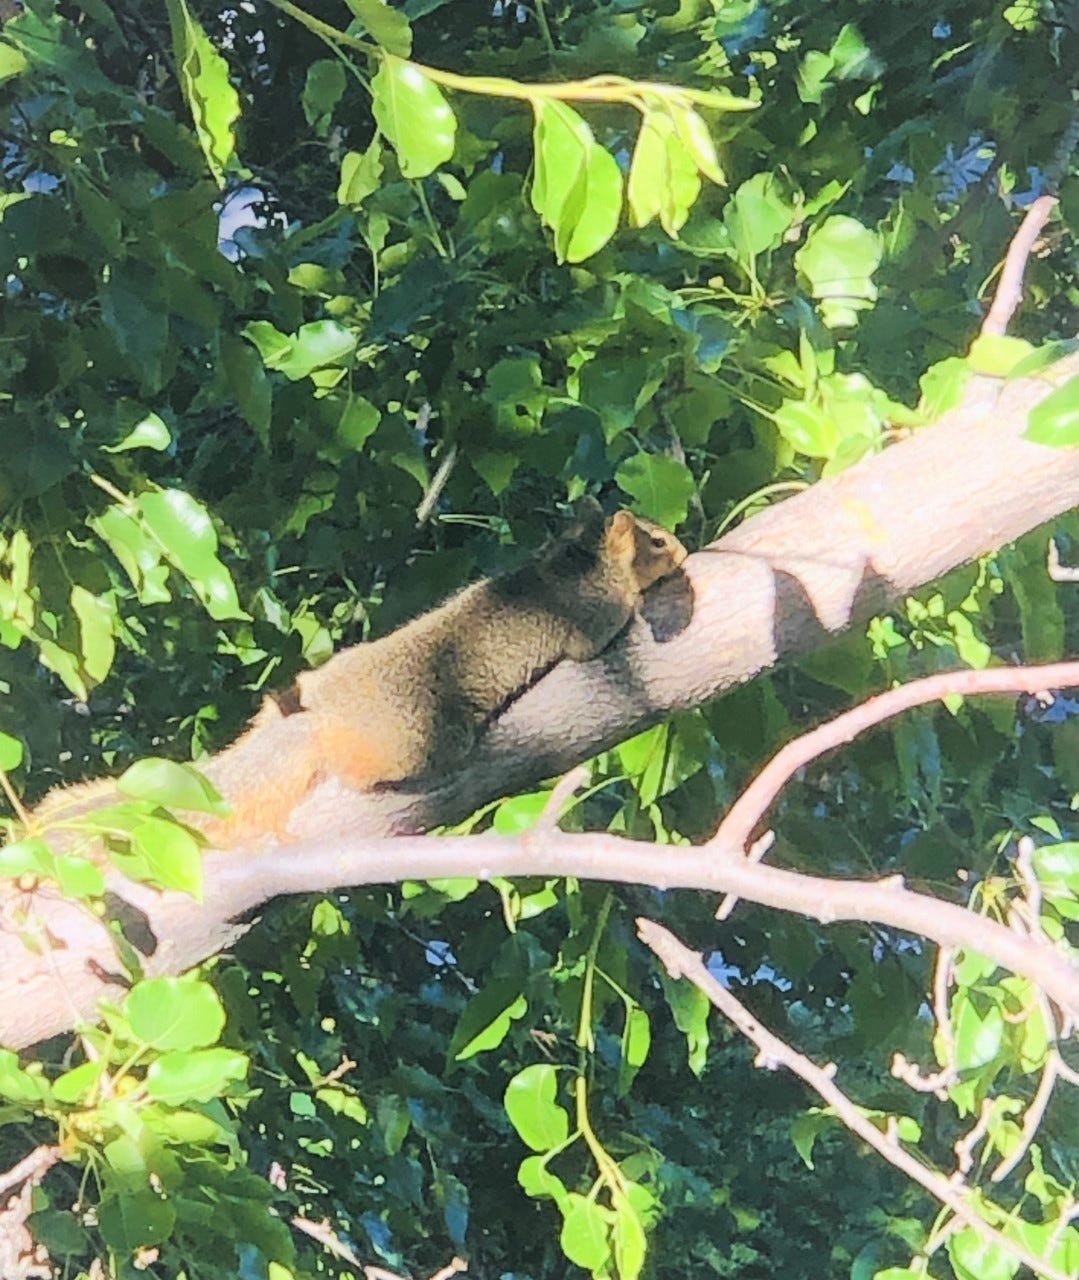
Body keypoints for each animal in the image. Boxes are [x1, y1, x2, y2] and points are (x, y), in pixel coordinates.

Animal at [28, 505, 687, 847]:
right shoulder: (590, 614)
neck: (573, 559)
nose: (681, 550)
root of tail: (313, 718)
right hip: (406, 744)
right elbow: (601, 634)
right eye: (654, 540)